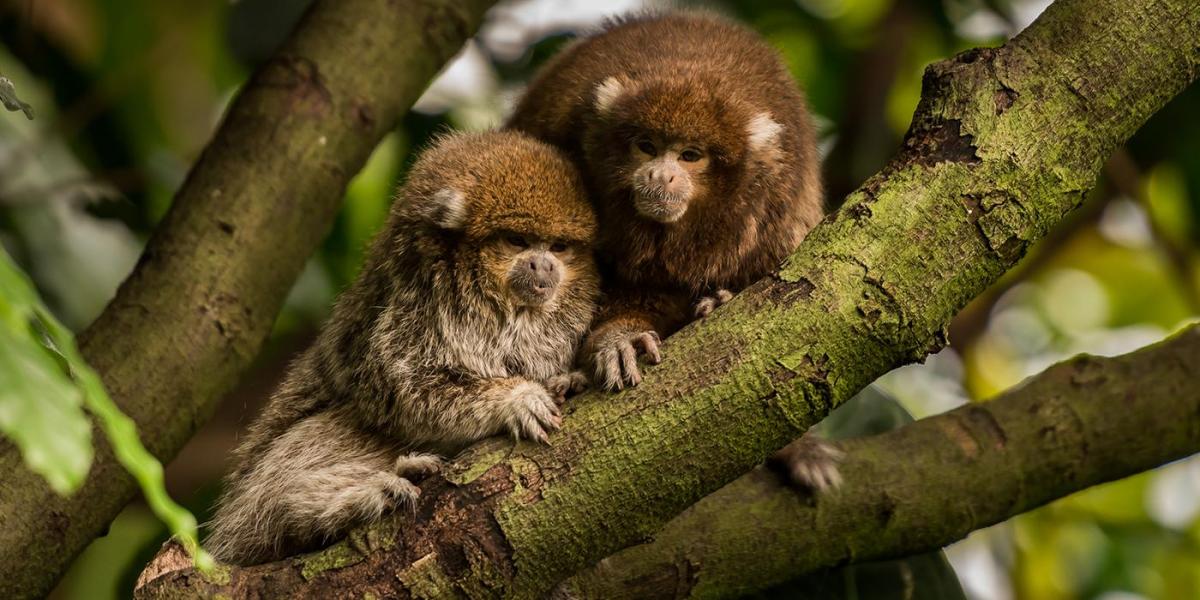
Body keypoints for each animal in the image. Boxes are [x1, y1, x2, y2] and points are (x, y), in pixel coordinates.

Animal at [205, 131, 599, 565]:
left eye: (559, 246)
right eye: (518, 241)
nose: (544, 266)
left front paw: (566, 380)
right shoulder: (416, 303)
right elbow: (400, 393)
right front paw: (515, 399)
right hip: (248, 507)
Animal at [506, 12, 839, 491]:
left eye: (689, 155)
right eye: (647, 146)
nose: (660, 175)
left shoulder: (778, 200)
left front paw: (720, 299)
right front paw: (620, 336)